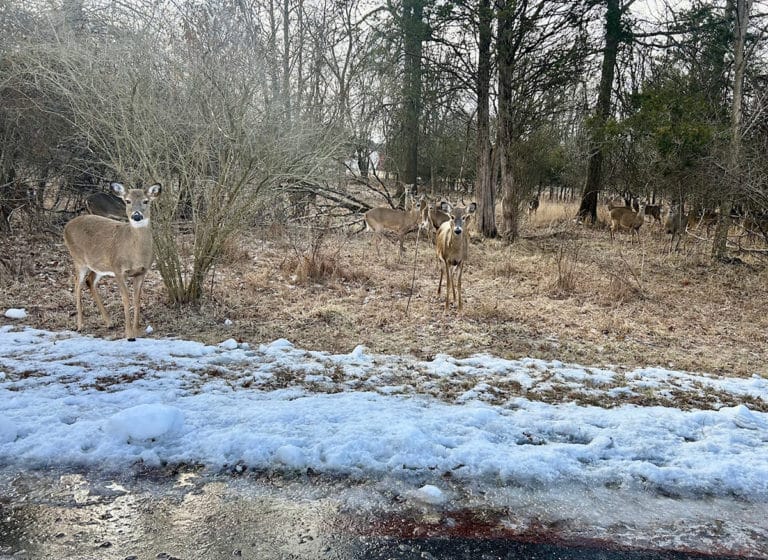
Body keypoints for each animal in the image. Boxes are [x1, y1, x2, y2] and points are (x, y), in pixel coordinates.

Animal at [63, 181, 162, 341]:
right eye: (127, 201)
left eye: (146, 201)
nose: (136, 215)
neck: (135, 254)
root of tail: (67, 225)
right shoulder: (118, 269)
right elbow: (125, 299)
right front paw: (129, 334)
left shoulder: (142, 272)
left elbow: (137, 299)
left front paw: (137, 331)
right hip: (78, 259)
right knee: (77, 284)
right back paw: (80, 325)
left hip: (99, 265)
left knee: (90, 281)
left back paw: (109, 322)